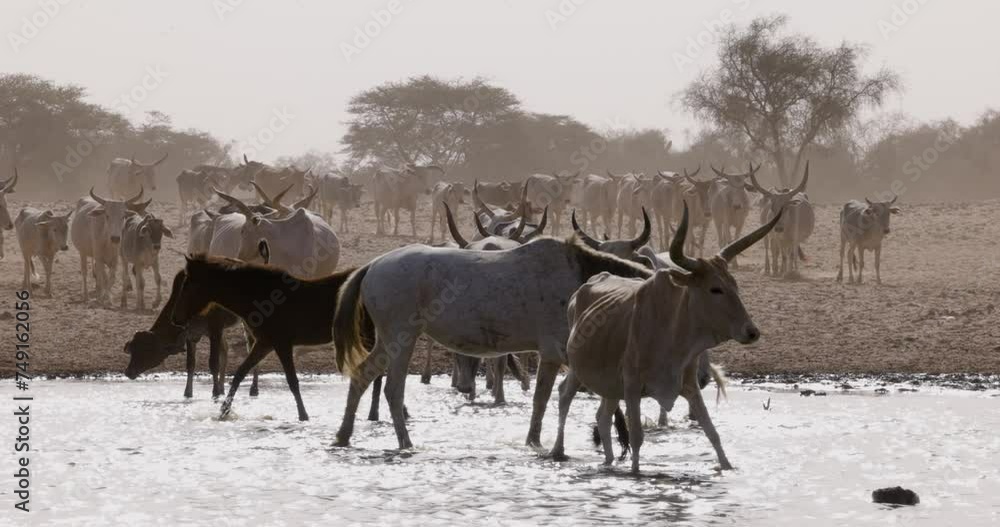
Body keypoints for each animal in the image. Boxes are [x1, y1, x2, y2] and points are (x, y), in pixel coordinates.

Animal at [332, 223, 653, 450]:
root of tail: (374, 265)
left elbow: (545, 399)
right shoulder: (557, 352)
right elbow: (548, 398)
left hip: (389, 341)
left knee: (362, 376)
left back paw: (343, 435)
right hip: (402, 338)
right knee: (392, 390)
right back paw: (404, 442)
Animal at [547, 203, 781, 473]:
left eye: (734, 285)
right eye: (715, 289)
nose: (751, 331)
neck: (670, 331)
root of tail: (584, 288)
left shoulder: (688, 384)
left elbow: (711, 431)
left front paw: (726, 467)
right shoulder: (632, 387)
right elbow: (637, 437)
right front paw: (635, 473)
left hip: (609, 385)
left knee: (603, 418)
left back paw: (609, 461)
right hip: (579, 370)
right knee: (565, 396)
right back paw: (558, 450)